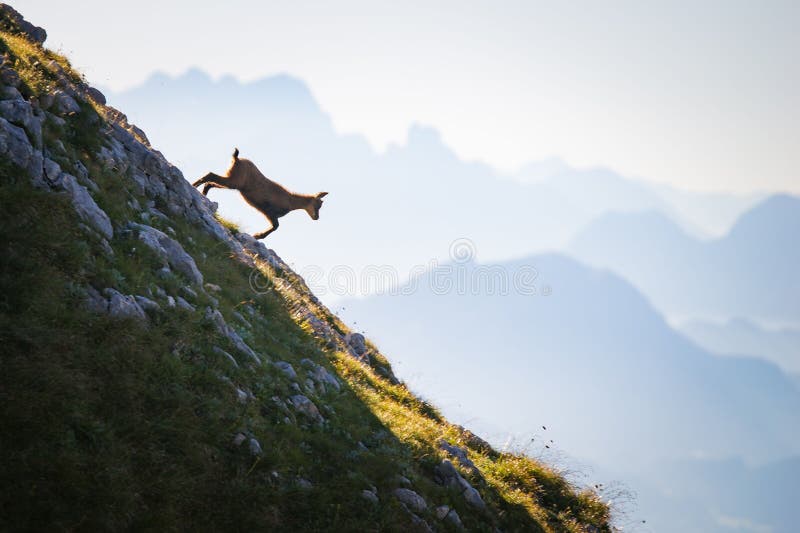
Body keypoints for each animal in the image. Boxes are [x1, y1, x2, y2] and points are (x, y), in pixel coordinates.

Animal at [192, 148, 327, 239]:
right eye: (318, 205)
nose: (316, 217)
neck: (290, 200)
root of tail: (237, 159)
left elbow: (276, 226)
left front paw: (257, 235)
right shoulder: (269, 211)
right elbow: (276, 226)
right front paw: (257, 235)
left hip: (232, 180)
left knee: (210, 182)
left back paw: (202, 193)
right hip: (234, 180)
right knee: (210, 175)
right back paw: (194, 186)